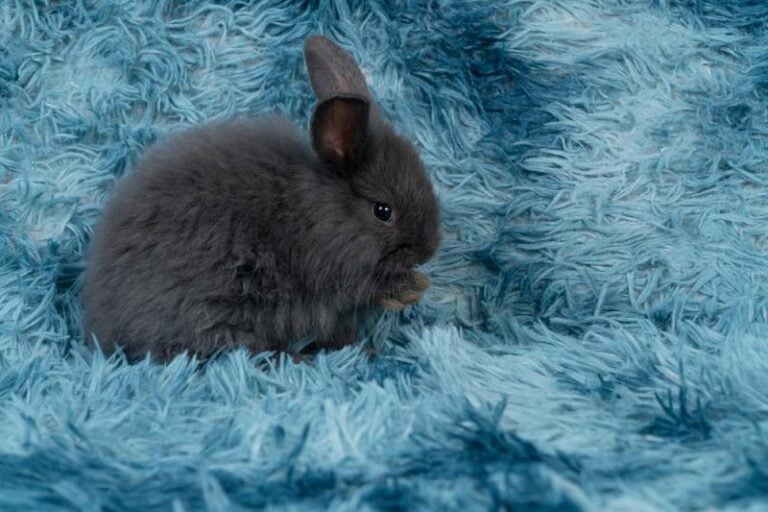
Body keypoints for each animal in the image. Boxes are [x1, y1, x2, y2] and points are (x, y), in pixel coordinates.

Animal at [81, 35, 441, 362]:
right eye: (383, 211)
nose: (429, 250)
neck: (321, 210)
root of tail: (102, 329)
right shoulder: (334, 277)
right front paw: (410, 288)